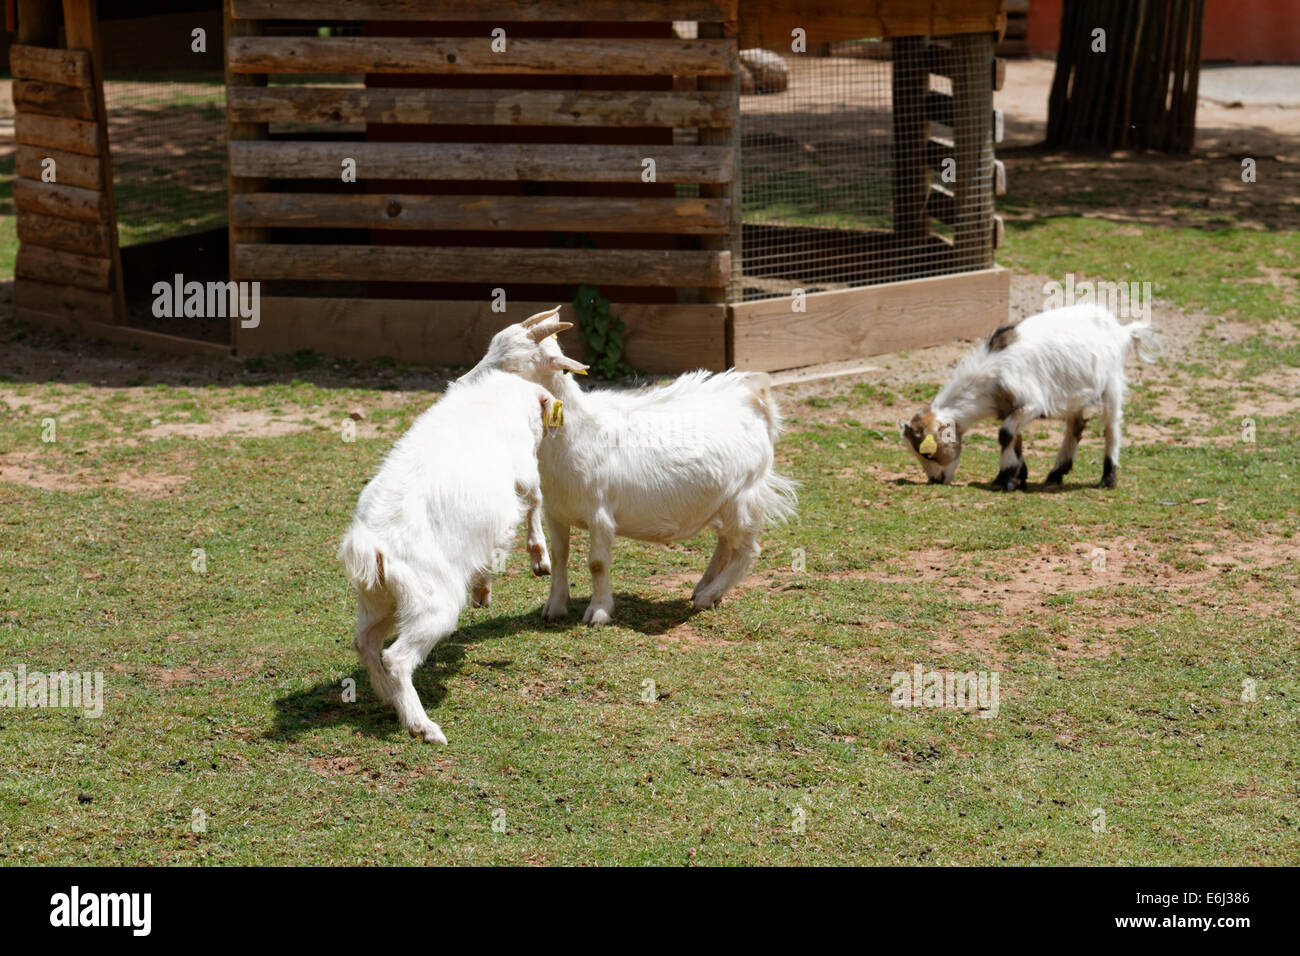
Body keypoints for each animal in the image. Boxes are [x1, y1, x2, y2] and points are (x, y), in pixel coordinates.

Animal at [338, 362, 561, 744]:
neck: (492, 401)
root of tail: (373, 541)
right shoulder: (523, 473)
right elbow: (534, 501)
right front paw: (539, 560)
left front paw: (483, 591)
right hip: (433, 604)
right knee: (396, 658)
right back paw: (423, 726)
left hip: (381, 599)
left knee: (364, 643)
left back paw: (388, 698)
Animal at [471, 307, 797, 625]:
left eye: (513, 367)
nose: (464, 385)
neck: (578, 435)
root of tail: (754, 399)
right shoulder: (557, 513)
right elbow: (560, 555)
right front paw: (555, 607)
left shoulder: (601, 514)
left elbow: (597, 563)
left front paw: (598, 612)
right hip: (722, 502)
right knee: (726, 542)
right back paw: (704, 588)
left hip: (743, 496)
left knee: (748, 550)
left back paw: (707, 597)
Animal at [899, 304, 1157, 491]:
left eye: (927, 452)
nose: (935, 480)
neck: (989, 374)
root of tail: (1122, 330)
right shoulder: (1012, 408)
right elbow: (1015, 437)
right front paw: (1017, 475)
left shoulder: (1032, 404)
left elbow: (1005, 434)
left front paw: (1006, 478)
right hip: (1074, 393)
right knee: (1075, 427)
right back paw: (1056, 474)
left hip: (1111, 383)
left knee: (1111, 427)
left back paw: (1107, 478)